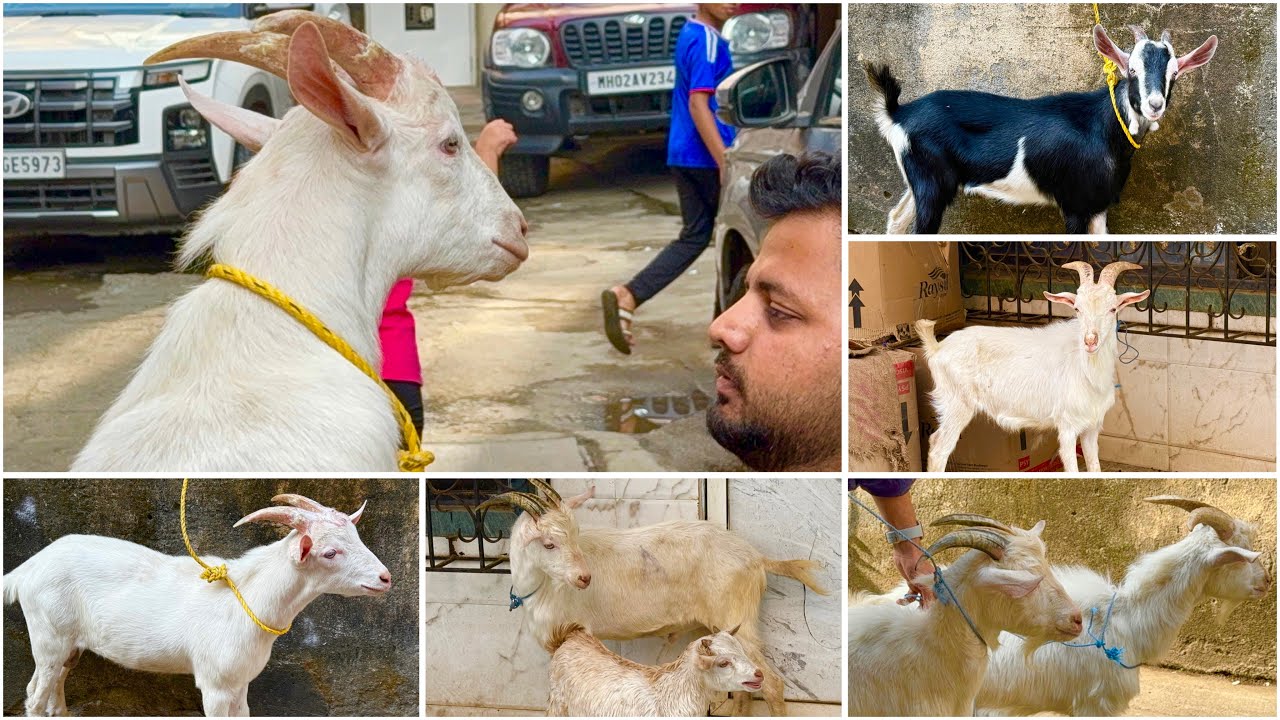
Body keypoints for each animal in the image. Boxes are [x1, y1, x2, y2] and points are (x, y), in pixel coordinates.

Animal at [3, 493, 389, 716]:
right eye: (330, 553)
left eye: (356, 537)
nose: (385, 577)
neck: (249, 599)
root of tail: (28, 569)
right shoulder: (215, 683)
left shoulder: (239, 681)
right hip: (49, 636)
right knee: (35, 696)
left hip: (67, 643)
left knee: (52, 686)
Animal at [865, 24, 1217, 233]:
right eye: (1131, 70)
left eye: (1174, 74)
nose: (1154, 105)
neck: (1102, 127)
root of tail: (899, 113)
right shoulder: (1074, 202)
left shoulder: (1099, 202)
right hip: (932, 182)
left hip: (919, 179)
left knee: (897, 220)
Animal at [916, 261, 1151, 473]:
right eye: (1077, 308)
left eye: (1113, 309)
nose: (1090, 341)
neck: (1086, 370)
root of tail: (937, 348)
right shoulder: (1067, 425)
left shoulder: (1091, 427)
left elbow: (1095, 467)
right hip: (956, 403)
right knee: (938, 448)